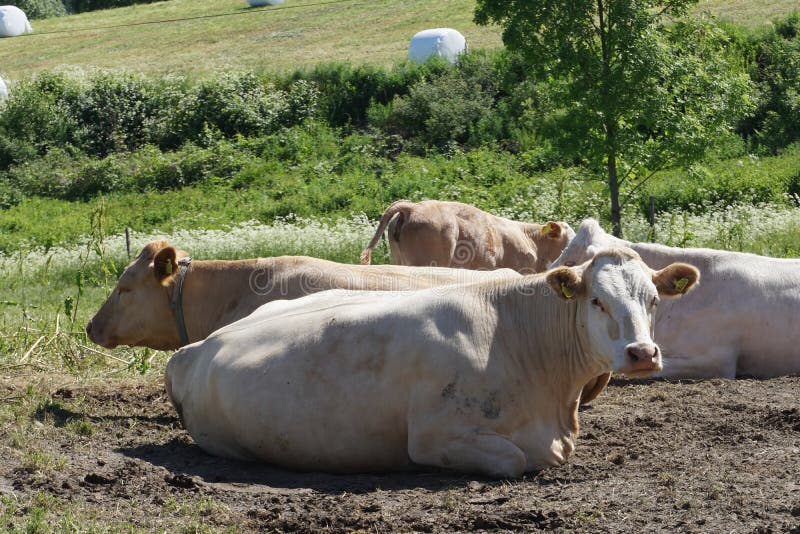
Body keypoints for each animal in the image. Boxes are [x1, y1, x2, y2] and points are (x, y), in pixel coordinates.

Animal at [165, 248, 699, 476]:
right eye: (597, 302)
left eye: (654, 299)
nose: (642, 353)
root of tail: (196, 348)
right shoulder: (435, 436)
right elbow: (515, 458)